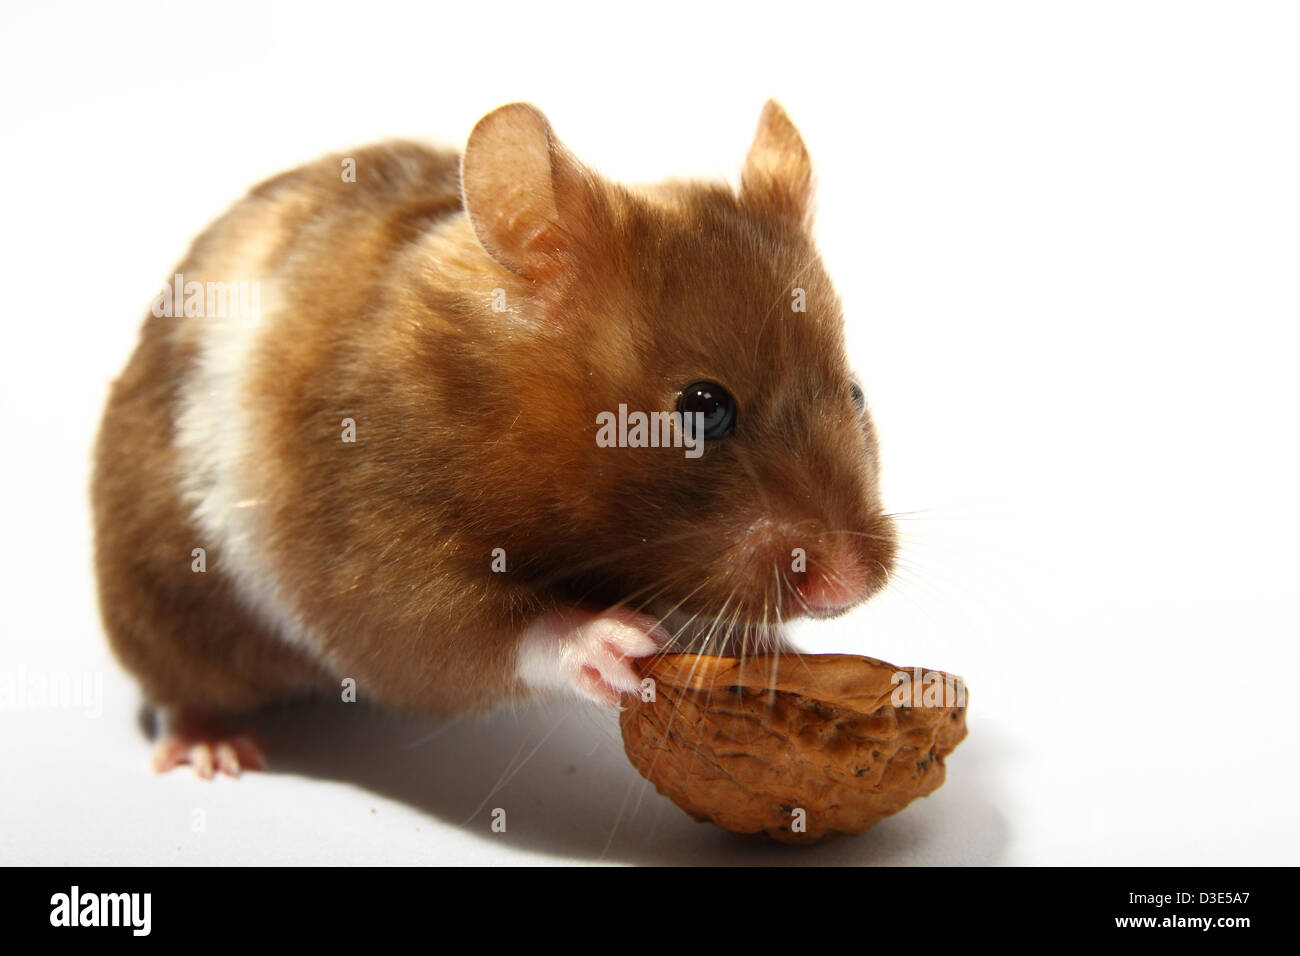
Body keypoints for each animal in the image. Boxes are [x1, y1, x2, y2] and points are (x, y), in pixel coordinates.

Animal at [91, 101, 897, 776]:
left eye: (858, 393)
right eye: (704, 408)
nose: (852, 584)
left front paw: (772, 653)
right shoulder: (365, 541)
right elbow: (472, 635)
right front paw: (615, 644)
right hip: (159, 599)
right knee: (181, 687)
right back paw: (215, 753)